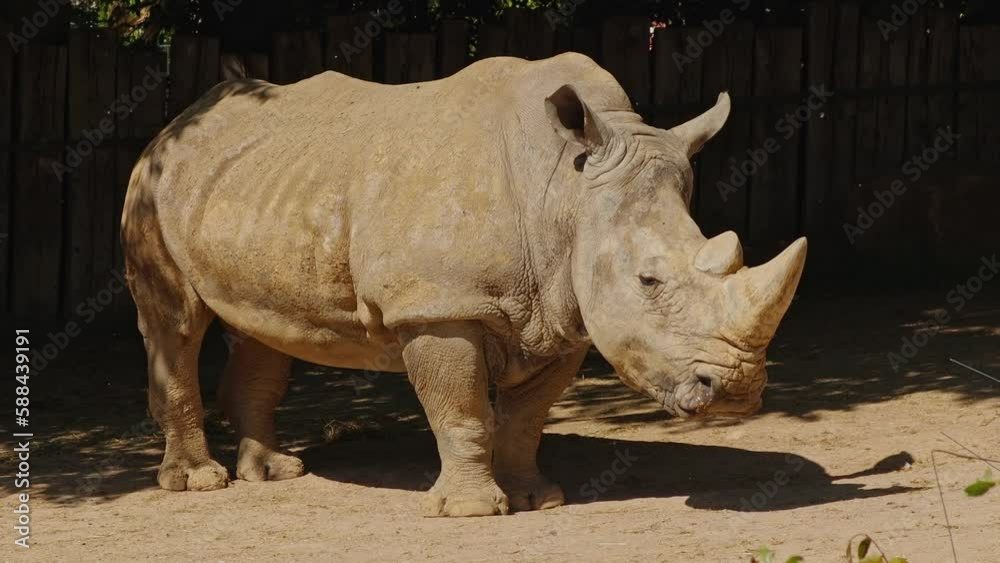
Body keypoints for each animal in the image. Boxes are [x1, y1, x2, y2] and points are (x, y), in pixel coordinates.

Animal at [121, 52, 806, 517]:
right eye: (648, 280)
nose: (736, 392)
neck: (564, 190)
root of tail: (181, 120)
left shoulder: (563, 310)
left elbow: (526, 417)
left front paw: (536, 499)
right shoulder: (438, 305)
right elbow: (461, 407)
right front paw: (472, 511)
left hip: (254, 186)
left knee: (264, 323)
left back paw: (276, 473)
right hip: (153, 181)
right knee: (175, 323)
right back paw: (199, 483)